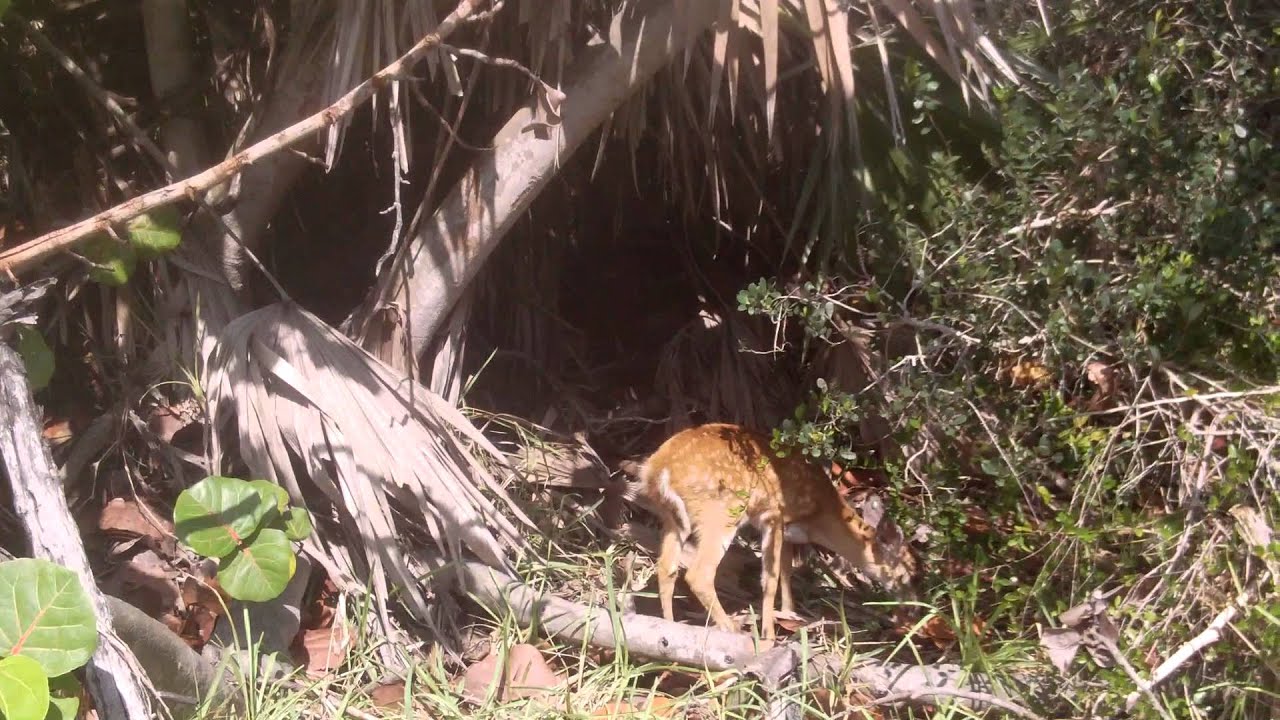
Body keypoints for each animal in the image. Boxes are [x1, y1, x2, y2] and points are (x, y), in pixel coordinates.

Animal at [618, 423, 919, 639]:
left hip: (673, 518)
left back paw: (670, 626)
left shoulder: (788, 531)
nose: (916, 606)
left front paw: (789, 614)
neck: (822, 514)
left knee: (666, 566)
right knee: (699, 573)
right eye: (909, 572)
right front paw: (771, 633)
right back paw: (730, 627)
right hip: (721, 511)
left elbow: (786, 571)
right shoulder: (773, 515)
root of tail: (658, 469)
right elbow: (771, 578)